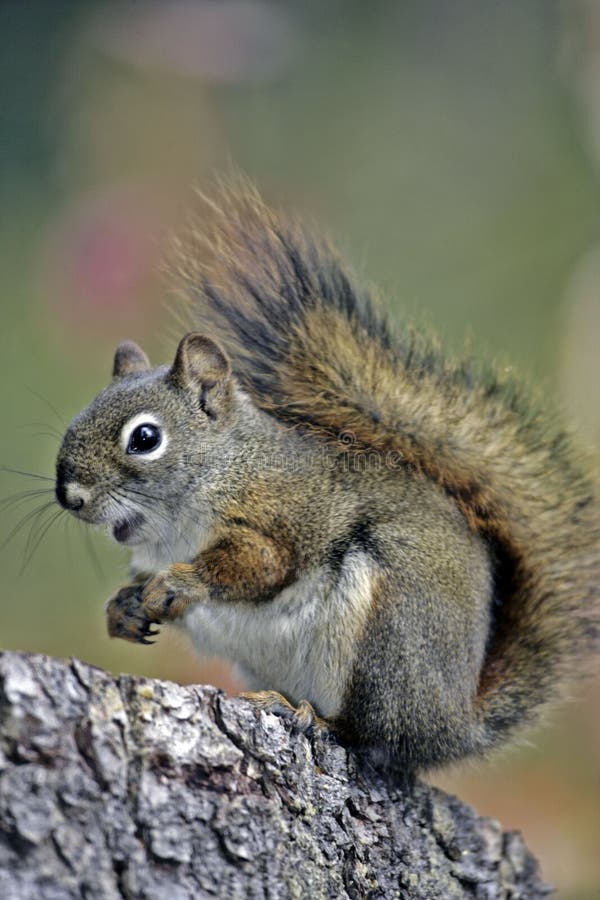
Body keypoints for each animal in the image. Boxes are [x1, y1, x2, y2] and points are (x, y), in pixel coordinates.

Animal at [54, 182, 599, 772]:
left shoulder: (279, 513)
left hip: (387, 636)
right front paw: (124, 609)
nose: (70, 496)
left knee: (373, 734)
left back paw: (315, 718)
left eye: (145, 438)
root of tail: (455, 726)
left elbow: (260, 566)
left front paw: (180, 582)